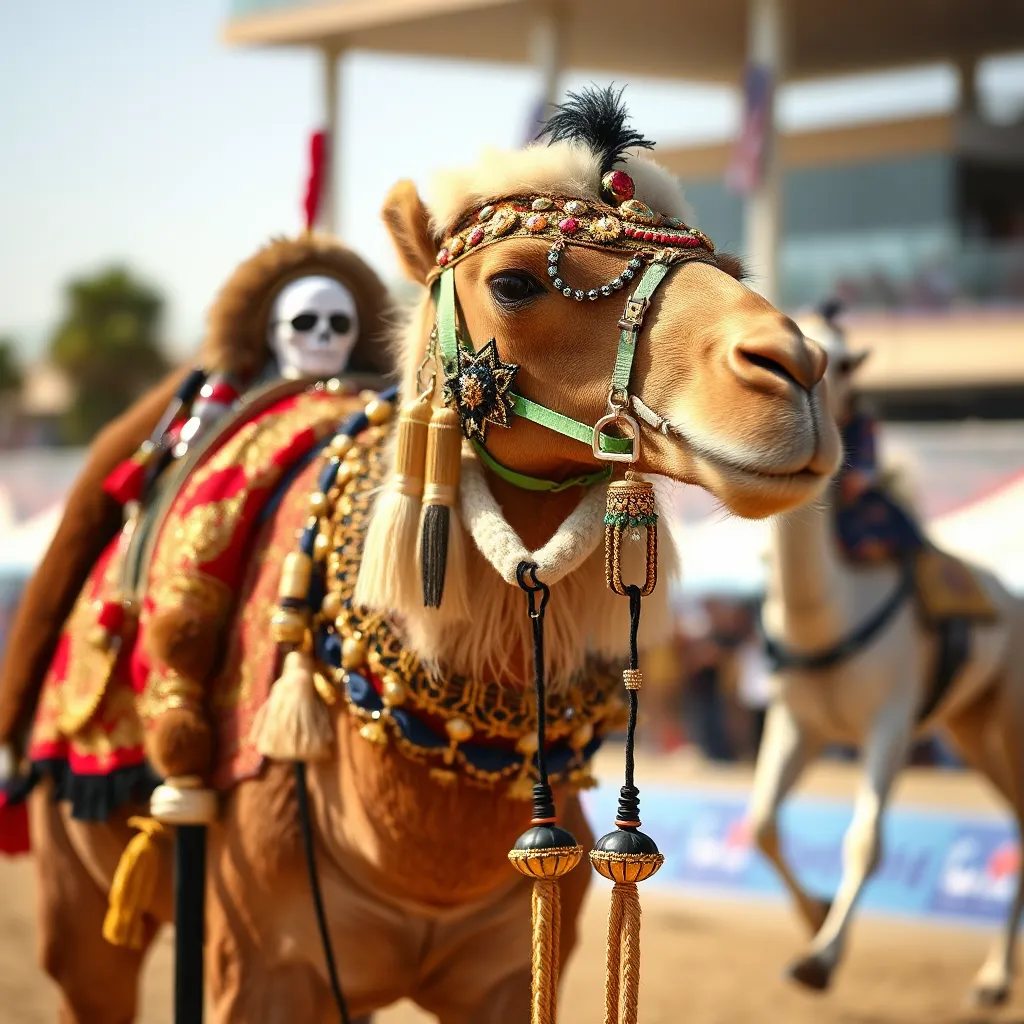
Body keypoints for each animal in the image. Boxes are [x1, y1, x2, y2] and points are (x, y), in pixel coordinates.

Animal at [7, 89, 840, 1023]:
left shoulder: (506, 971)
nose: (795, 370)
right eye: (514, 282)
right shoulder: (261, 967)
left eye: (731, 267)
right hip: (82, 913)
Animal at [751, 316, 1024, 1006]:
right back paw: (993, 980)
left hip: (1008, 721)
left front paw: (820, 962)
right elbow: (763, 823)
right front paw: (815, 916)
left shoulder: (891, 725)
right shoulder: (799, 724)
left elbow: (865, 841)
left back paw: (994, 979)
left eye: (845, 360)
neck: (828, 610)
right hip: (970, 729)